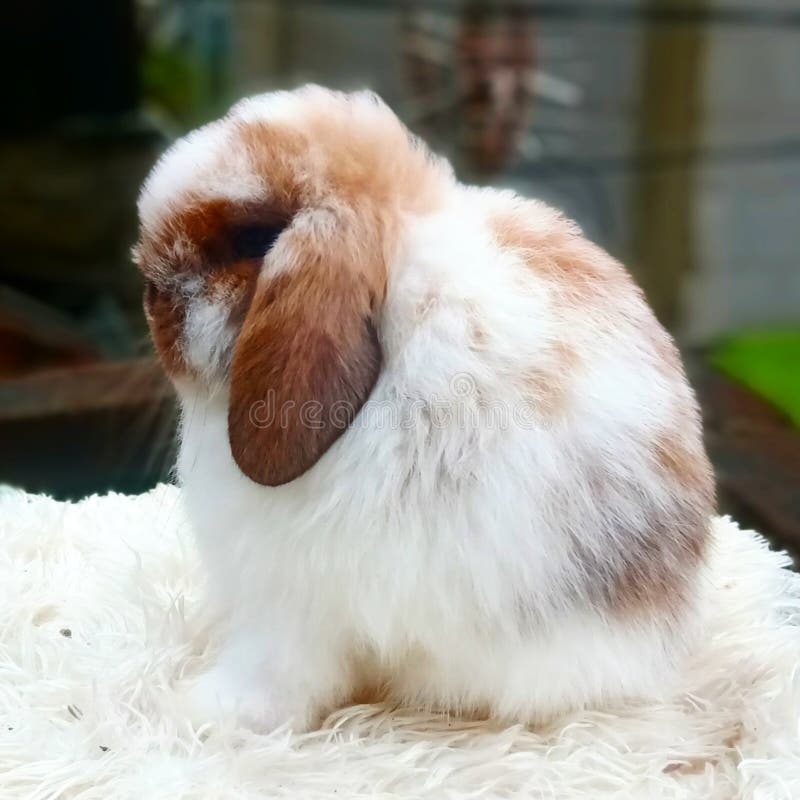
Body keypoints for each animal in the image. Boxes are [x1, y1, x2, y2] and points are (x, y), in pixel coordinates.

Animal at [133, 86, 715, 733]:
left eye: (252, 240)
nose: (149, 292)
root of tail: (662, 642)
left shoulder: (291, 600)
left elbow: (272, 674)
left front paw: (194, 709)